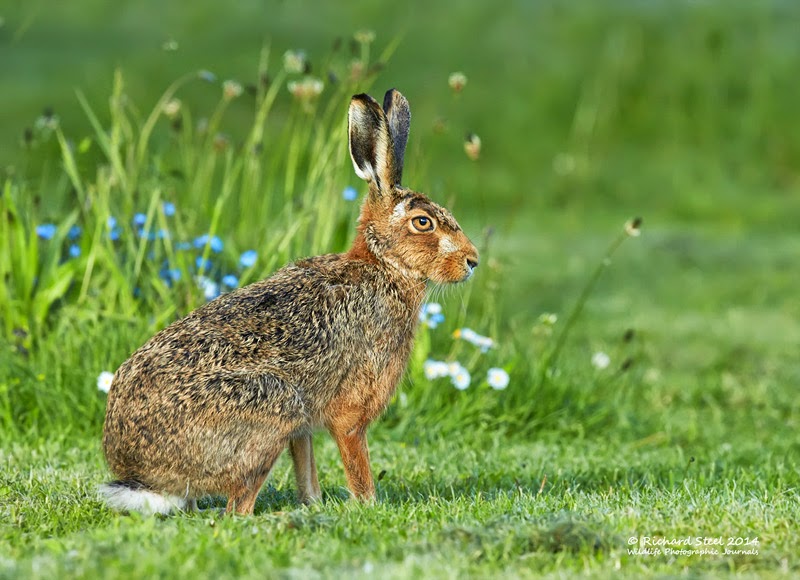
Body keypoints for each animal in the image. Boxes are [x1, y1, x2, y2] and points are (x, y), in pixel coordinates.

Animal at [100, 88, 479, 516]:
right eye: (423, 222)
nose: (472, 262)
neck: (384, 266)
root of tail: (142, 476)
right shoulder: (350, 411)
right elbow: (355, 456)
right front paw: (367, 504)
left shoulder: (305, 425)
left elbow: (306, 462)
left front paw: (313, 502)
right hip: (271, 409)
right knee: (237, 509)